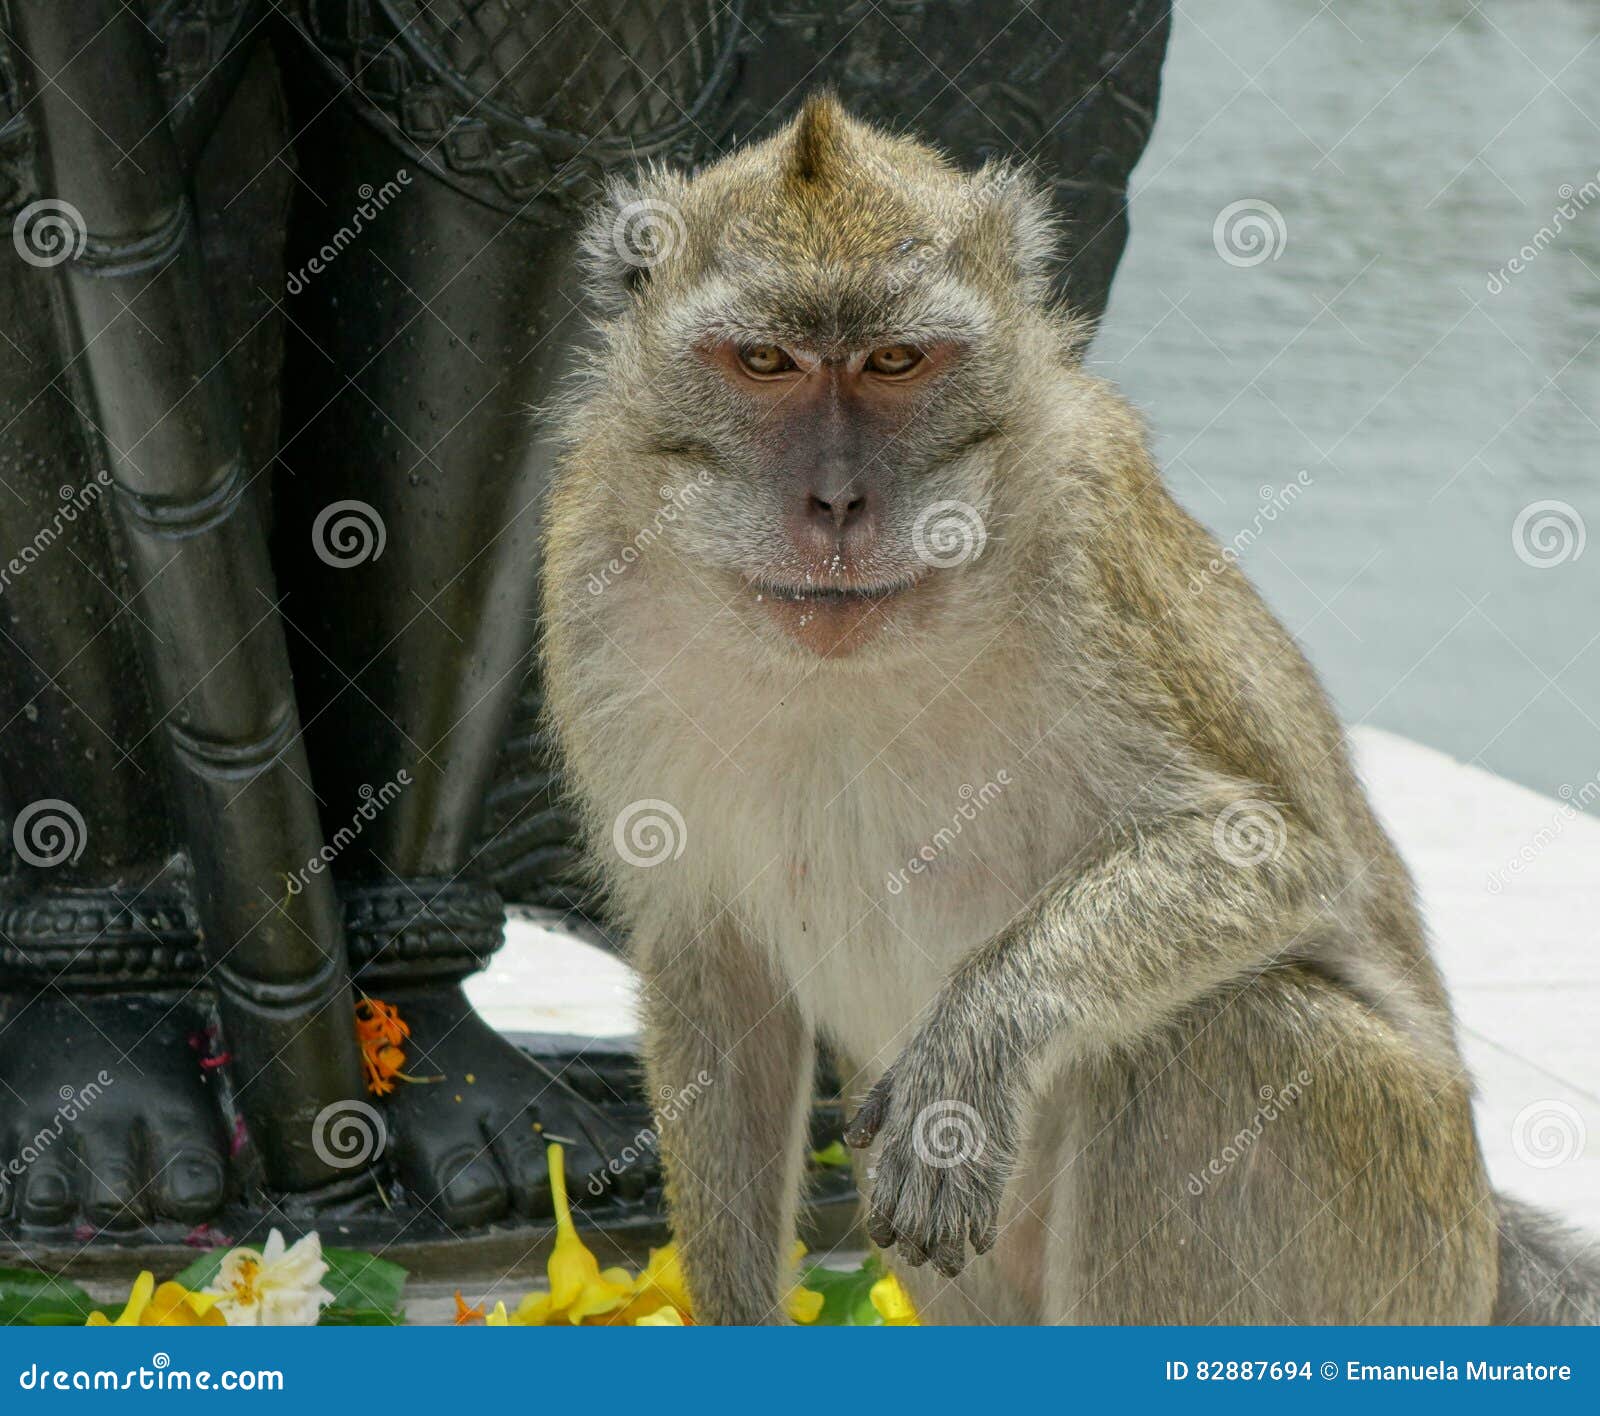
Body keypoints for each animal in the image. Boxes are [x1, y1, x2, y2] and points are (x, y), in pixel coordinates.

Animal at [539, 94, 1600, 1326]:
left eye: (896, 361)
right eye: (764, 361)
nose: (838, 502)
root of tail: (1484, 1237)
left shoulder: (1088, 531)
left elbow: (1271, 850)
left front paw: (975, 1049)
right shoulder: (590, 570)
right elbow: (713, 964)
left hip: (1399, 1215)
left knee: (1214, 1039)